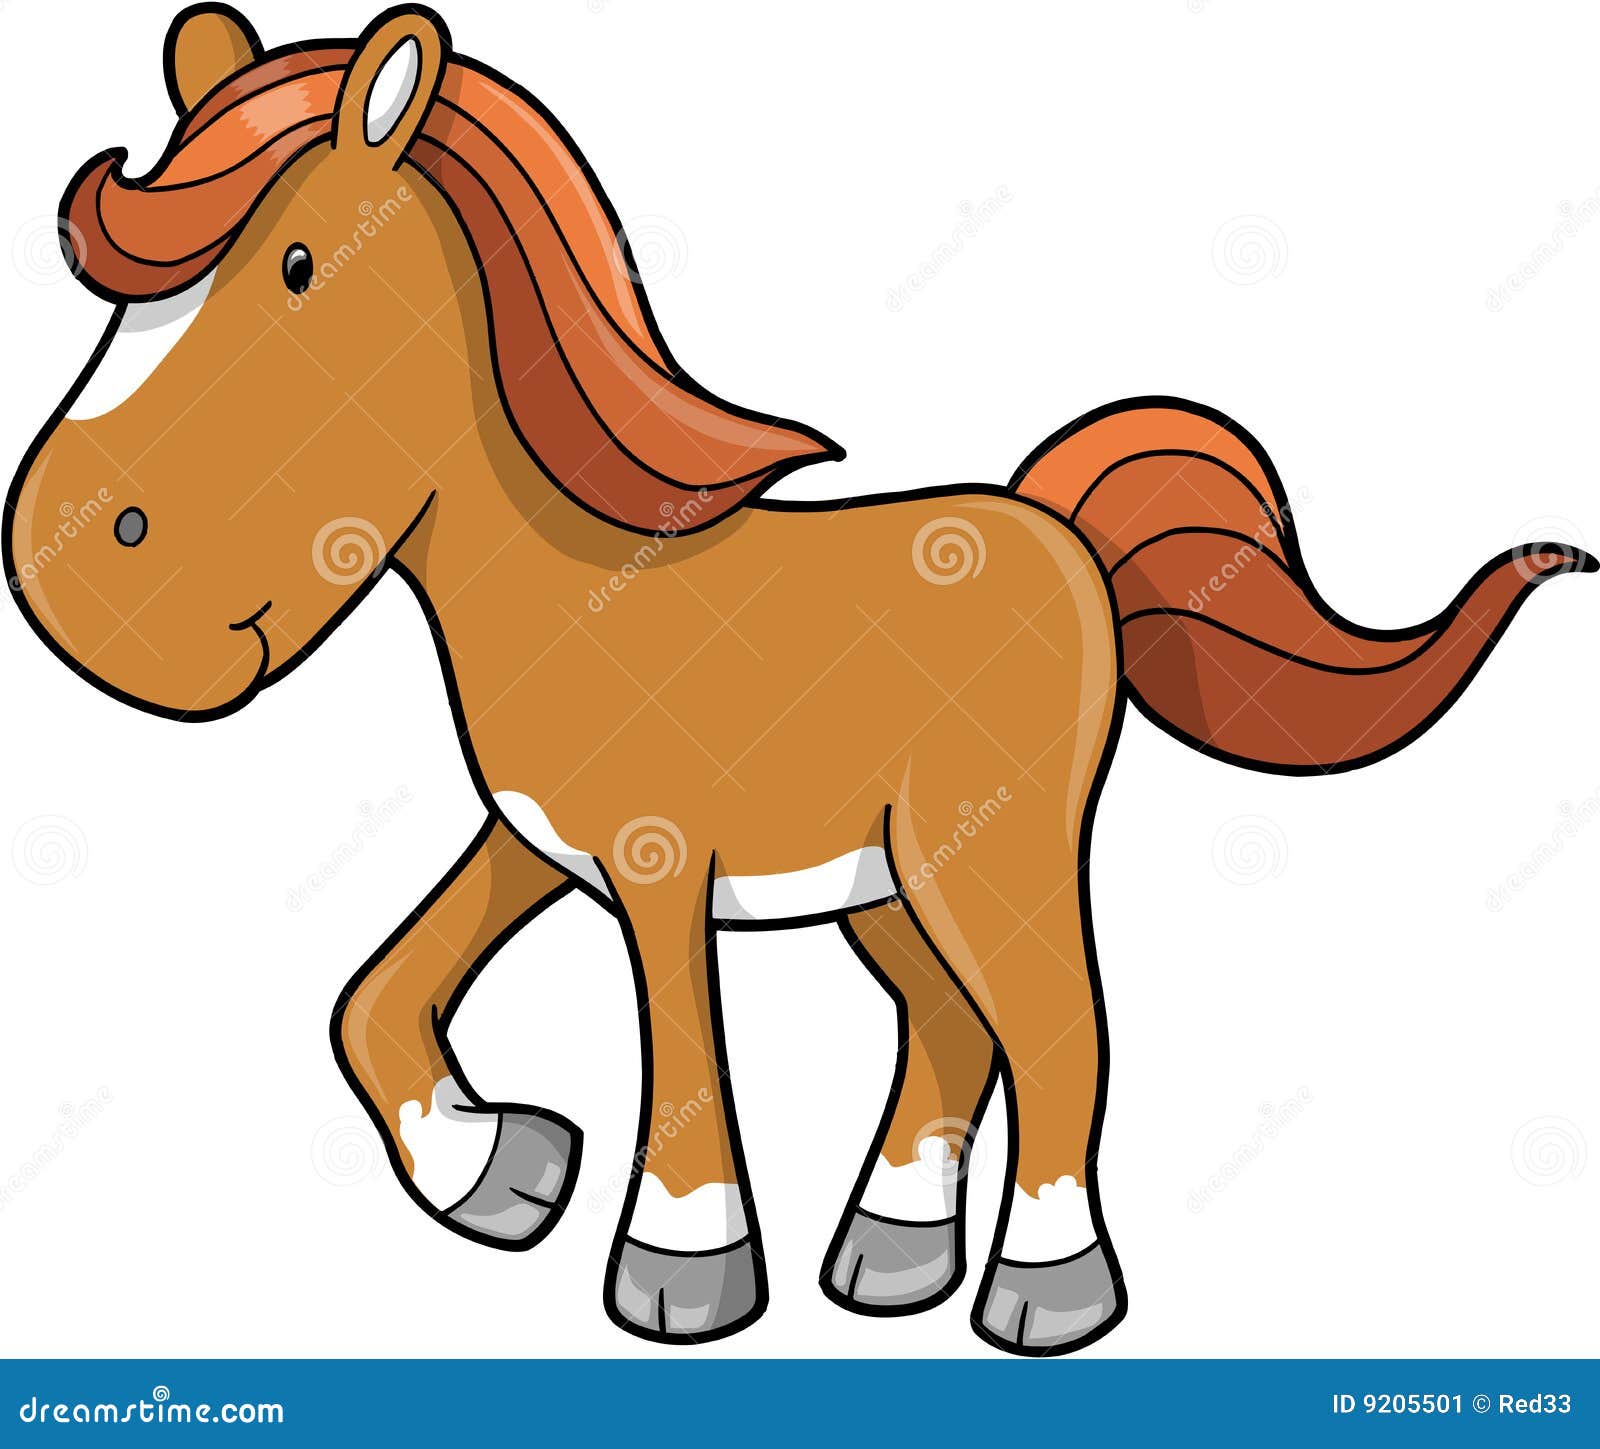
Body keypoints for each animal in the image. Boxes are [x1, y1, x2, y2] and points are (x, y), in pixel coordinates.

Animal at [6, 4, 1589, 1356]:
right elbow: (370, 996)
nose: (77, 580)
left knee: (1058, 1030)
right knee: (952, 1027)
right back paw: (890, 1259)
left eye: (296, 267)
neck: (575, 578)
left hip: (988, 855)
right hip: (890, 884)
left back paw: (1043, 1291)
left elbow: (681, 1055)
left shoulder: (656, 865)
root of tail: (1059, 531)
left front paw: (681, 1274)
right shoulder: (536, 840)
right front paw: (502, 1169)